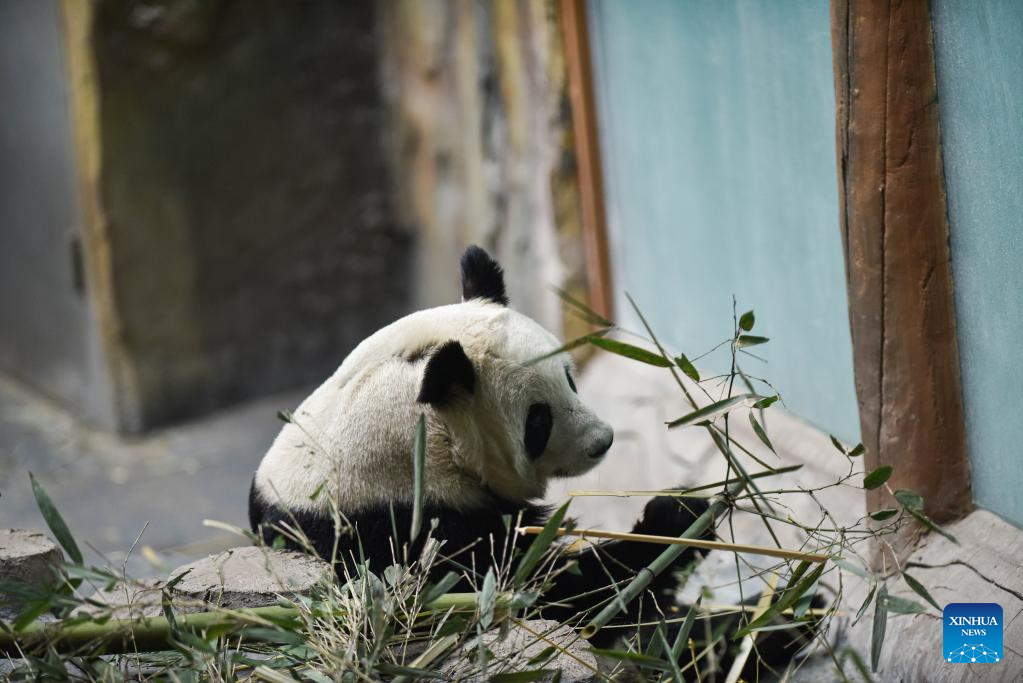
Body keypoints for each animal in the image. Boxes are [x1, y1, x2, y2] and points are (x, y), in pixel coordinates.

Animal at [248, 245, 709, 625]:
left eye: (569, 380)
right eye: (538, 422)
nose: (602, 441)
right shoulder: (410, 532)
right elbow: (543, 593)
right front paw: (678, 517)